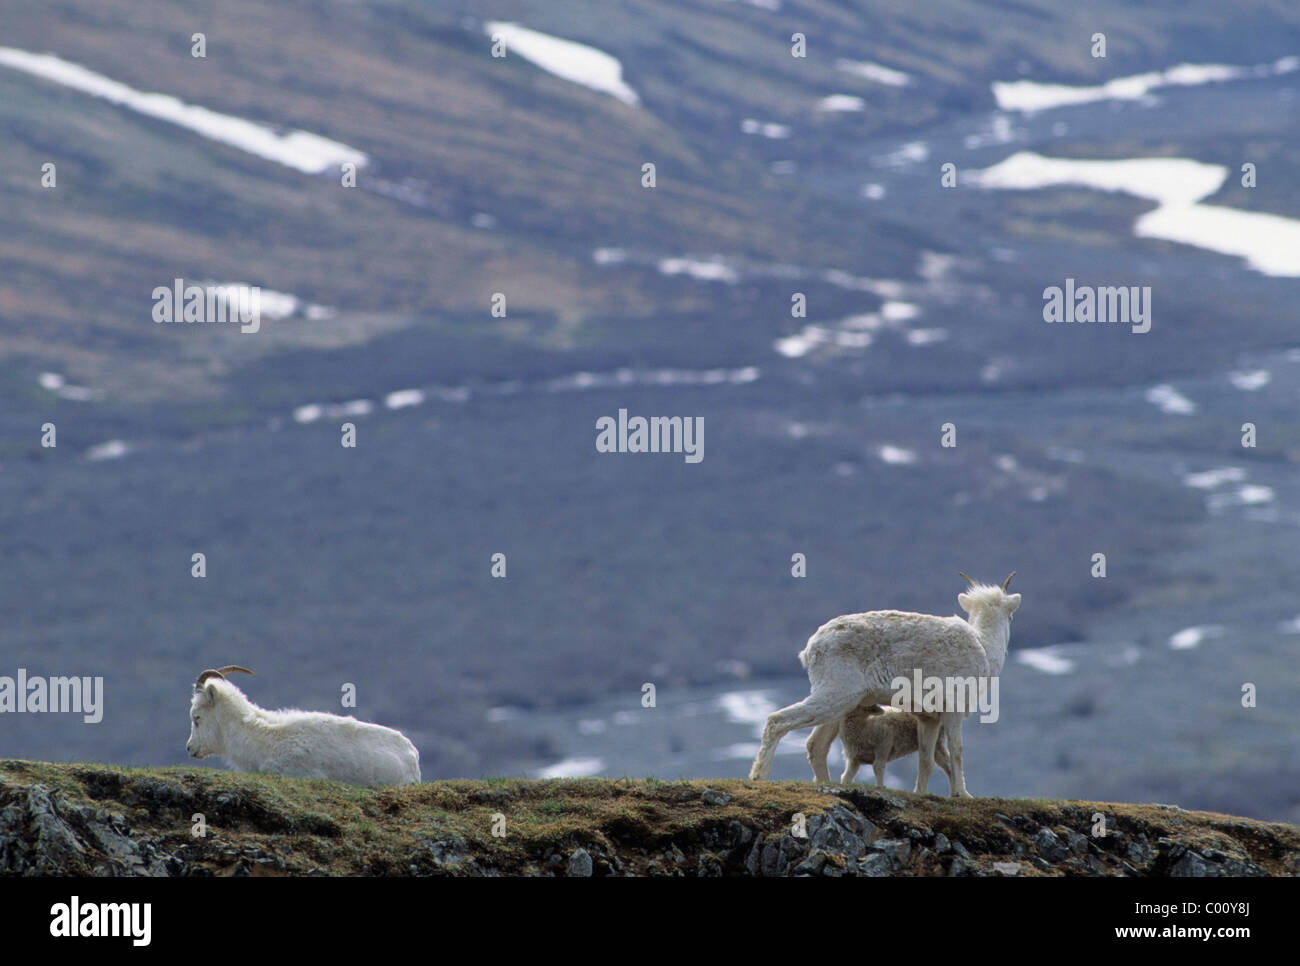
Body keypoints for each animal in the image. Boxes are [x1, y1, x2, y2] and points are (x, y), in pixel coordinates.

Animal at [804, 700, 955, 787]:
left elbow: (878, 767)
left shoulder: (883, 746)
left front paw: (880, 787)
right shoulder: (854, 760)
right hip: (938, 745)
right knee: (947, 765)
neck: (863, 726)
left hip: (935, 741)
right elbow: (846, 777)